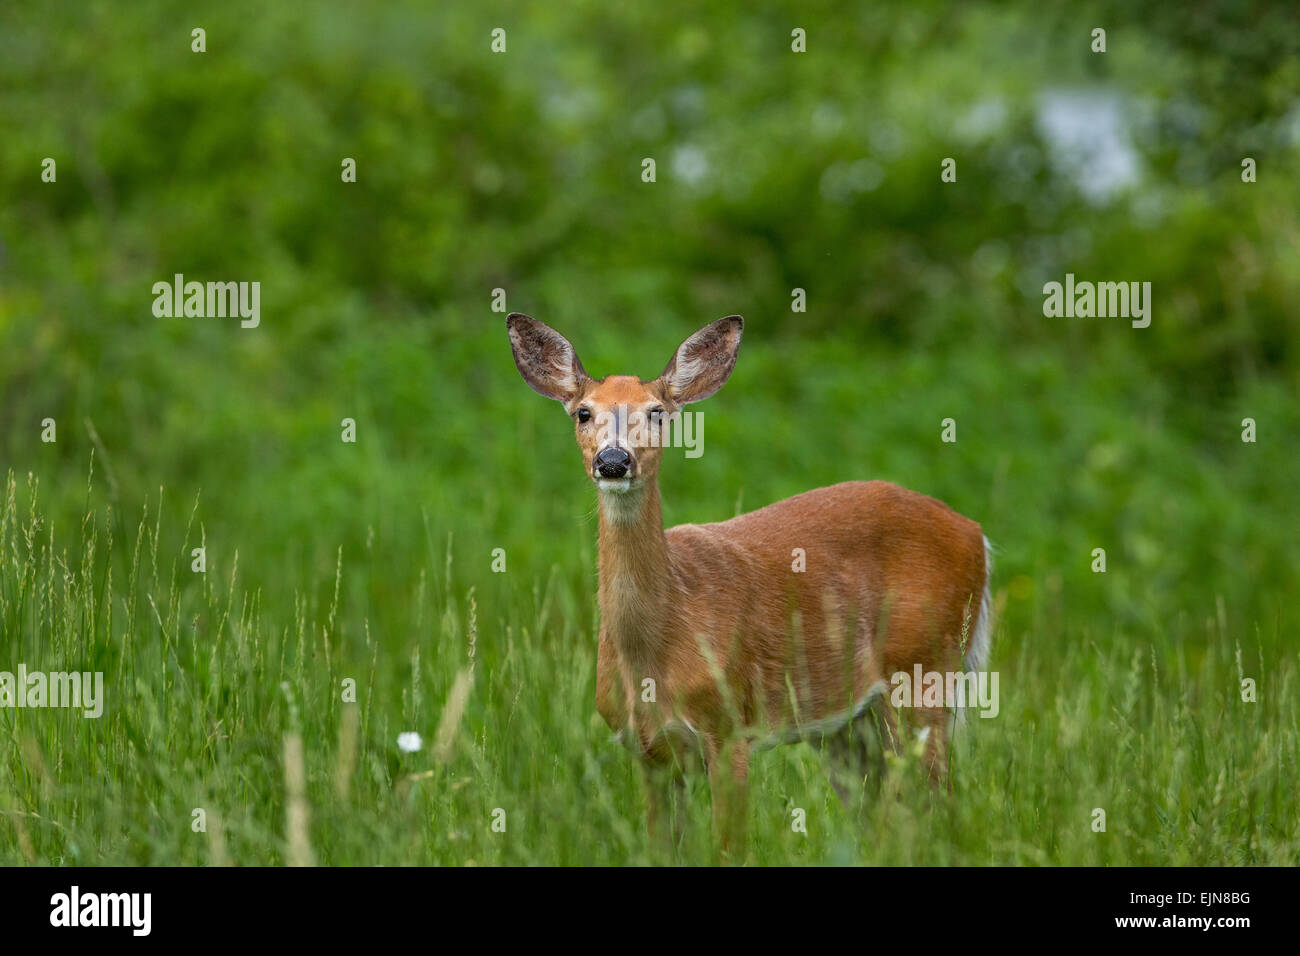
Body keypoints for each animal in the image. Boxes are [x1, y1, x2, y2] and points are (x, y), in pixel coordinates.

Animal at [506, 312, 992, 859]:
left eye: (658, 413)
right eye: (583, 413)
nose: (613, 461)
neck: (655, 649)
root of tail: (977, 534)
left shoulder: (730, 726)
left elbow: (730, 847)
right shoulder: (647, 751)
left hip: (925, 669)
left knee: (940, 805)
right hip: (847, 724)